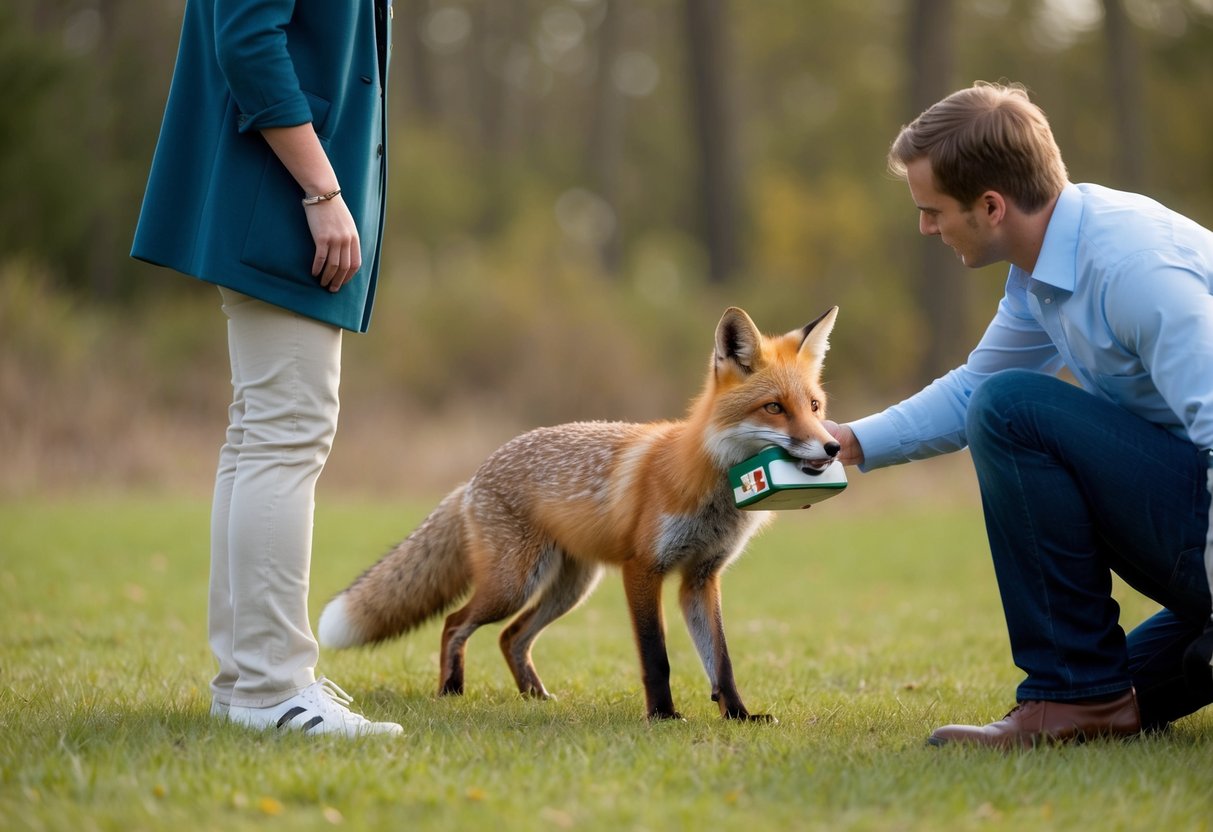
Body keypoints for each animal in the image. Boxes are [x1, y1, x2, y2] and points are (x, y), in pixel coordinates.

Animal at [318, 305, 841, 721]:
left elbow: (722, 662)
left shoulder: (701, 578)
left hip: (569, 588)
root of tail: (473, 477)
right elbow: (657, 657)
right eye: (774, 408)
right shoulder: (642, 569)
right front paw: (663, 715)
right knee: (454, 623)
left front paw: (738, 715)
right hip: (513, 584)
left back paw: (534, 696)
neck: (708, 483)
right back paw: (451, 689)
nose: (833, 447)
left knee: (510, 637)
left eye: (814, 406)